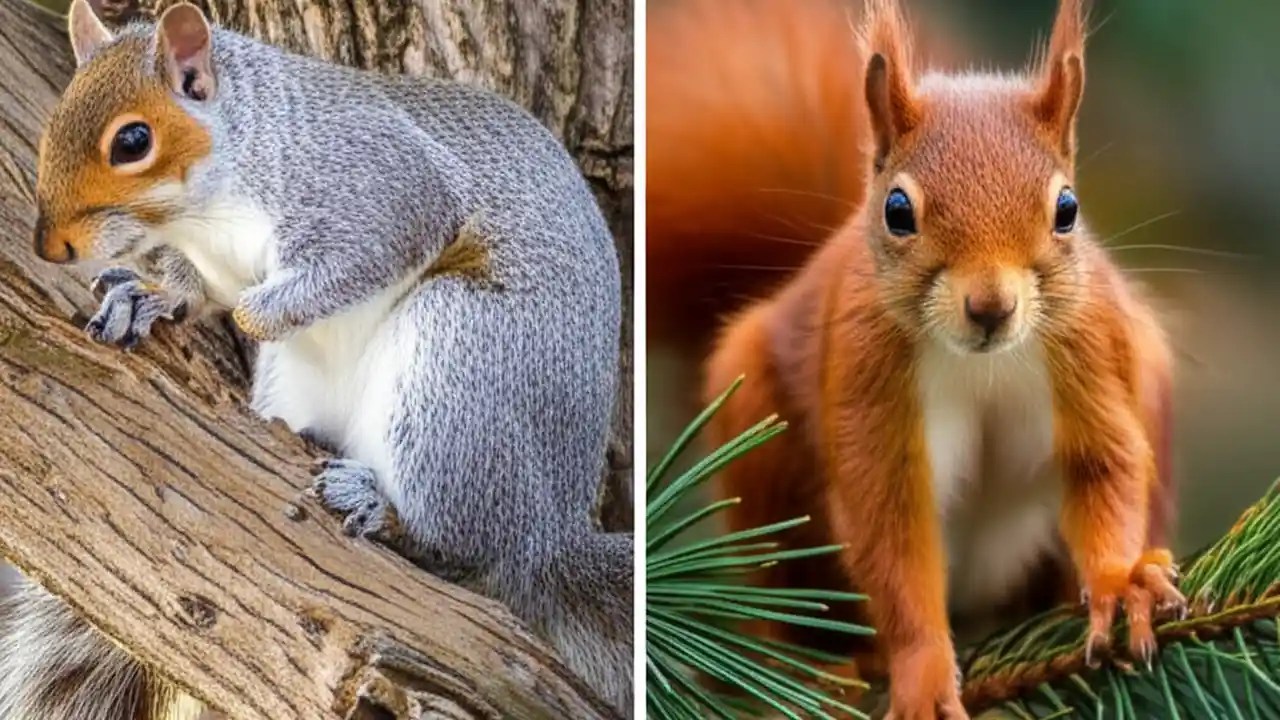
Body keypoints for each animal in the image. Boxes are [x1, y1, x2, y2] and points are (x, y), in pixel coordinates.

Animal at [2, 0, 632, 718]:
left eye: (132, 142)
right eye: (54, 120)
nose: (50, 246)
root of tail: (554, 534)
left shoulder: (375, 187)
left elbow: (363, 254)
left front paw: (252, 312)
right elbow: (195, 291)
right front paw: (149, 297)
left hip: (457, 368)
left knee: (471, 551)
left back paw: (384, 510)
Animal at [685, 0, 1185, 717]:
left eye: (1067, 209)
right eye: (898, 210)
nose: (991, 307)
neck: (983, 363)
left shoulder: (1093, 352)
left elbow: (1106, 467)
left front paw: (1122, 585)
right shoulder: (869, 378)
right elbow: (892, 538)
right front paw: (921, 677)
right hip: (762, 446)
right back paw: (825, 668)